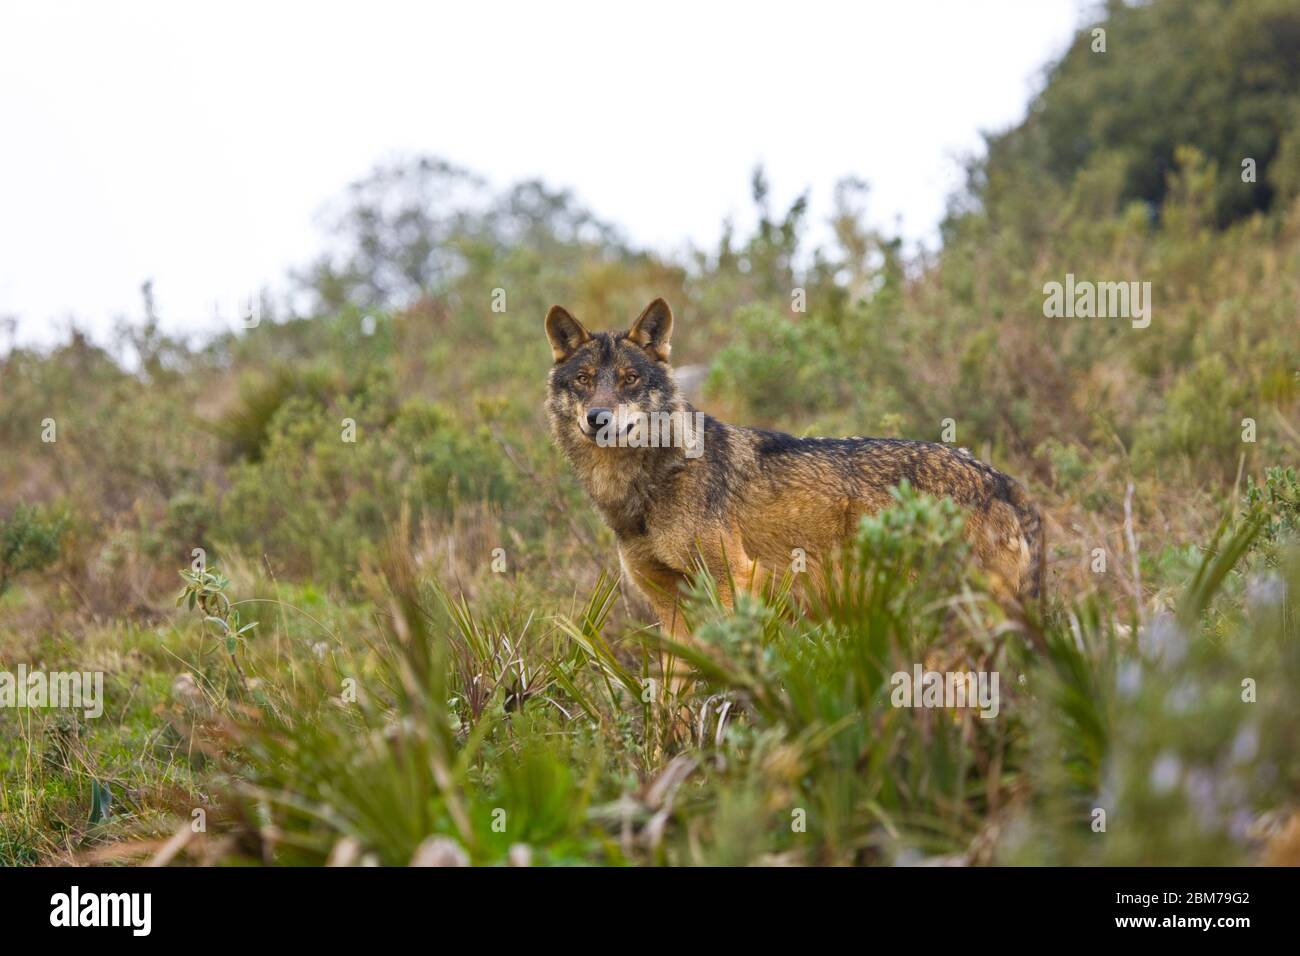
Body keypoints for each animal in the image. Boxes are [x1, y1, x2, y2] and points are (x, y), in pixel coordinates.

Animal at [544, 298, 1045, 643]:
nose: (599, 419)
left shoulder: (733, 582)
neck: (646, 488)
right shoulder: (670, 606)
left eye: (629, 379)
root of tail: (1003, 481)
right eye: (584, 381)